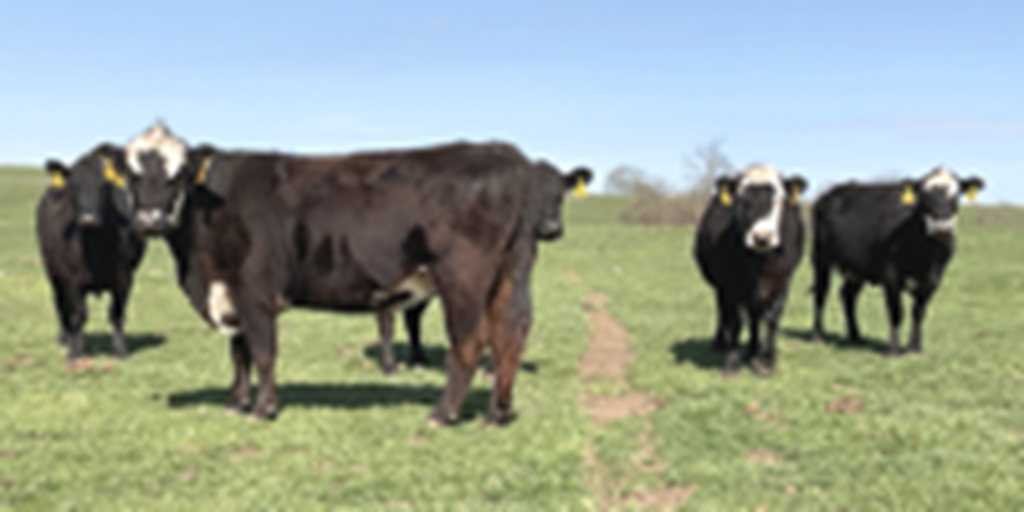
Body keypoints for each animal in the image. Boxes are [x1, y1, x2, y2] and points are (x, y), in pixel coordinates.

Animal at [36, 145, 147, 360]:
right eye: (74, 187)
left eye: (104, 187)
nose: (89, 219)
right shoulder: (71, 279)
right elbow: (78, 315)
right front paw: (75, 352)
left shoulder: (125, 278)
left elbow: (117, 314)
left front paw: (120, 350)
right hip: (52, 271)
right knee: (60, 304)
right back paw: (65, 338)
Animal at [122, 122, 591, 424]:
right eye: (130, 174)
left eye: (179, 174)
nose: (149, 218)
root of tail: (503, 154)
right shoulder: (228, 290)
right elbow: (239, 352)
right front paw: (236, 402)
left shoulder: (254, 290)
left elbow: (263, 351)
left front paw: (262, 408)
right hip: (510, 273)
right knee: (511, 331)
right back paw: (498, 411)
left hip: (463, 276)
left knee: (471, 339)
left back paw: (444, 413)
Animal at [694, 164, 807, 376]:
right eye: (741, 199)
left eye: (780, 199)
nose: (761, 237)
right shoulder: (729, 285)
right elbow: (735, 322)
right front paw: (732, 363)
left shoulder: (782, 281)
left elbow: (771, 319)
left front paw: (766, 361)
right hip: (720, 287)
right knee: (723, 313)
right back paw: (720, 343)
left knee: (755, 315)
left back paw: (754, 350)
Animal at [811, 166, 984, 356]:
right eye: (924, 195)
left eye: (956, 194)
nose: (941, 227)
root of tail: (832, 192)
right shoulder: (891, 275)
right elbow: (896, 312)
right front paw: (894, 349)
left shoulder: (933, 279)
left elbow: (919, 312)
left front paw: (915, 348)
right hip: (821, 258)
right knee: (821, 293)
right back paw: (818, 336)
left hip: (857, 269)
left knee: (848, 295)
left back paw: (856, 337)